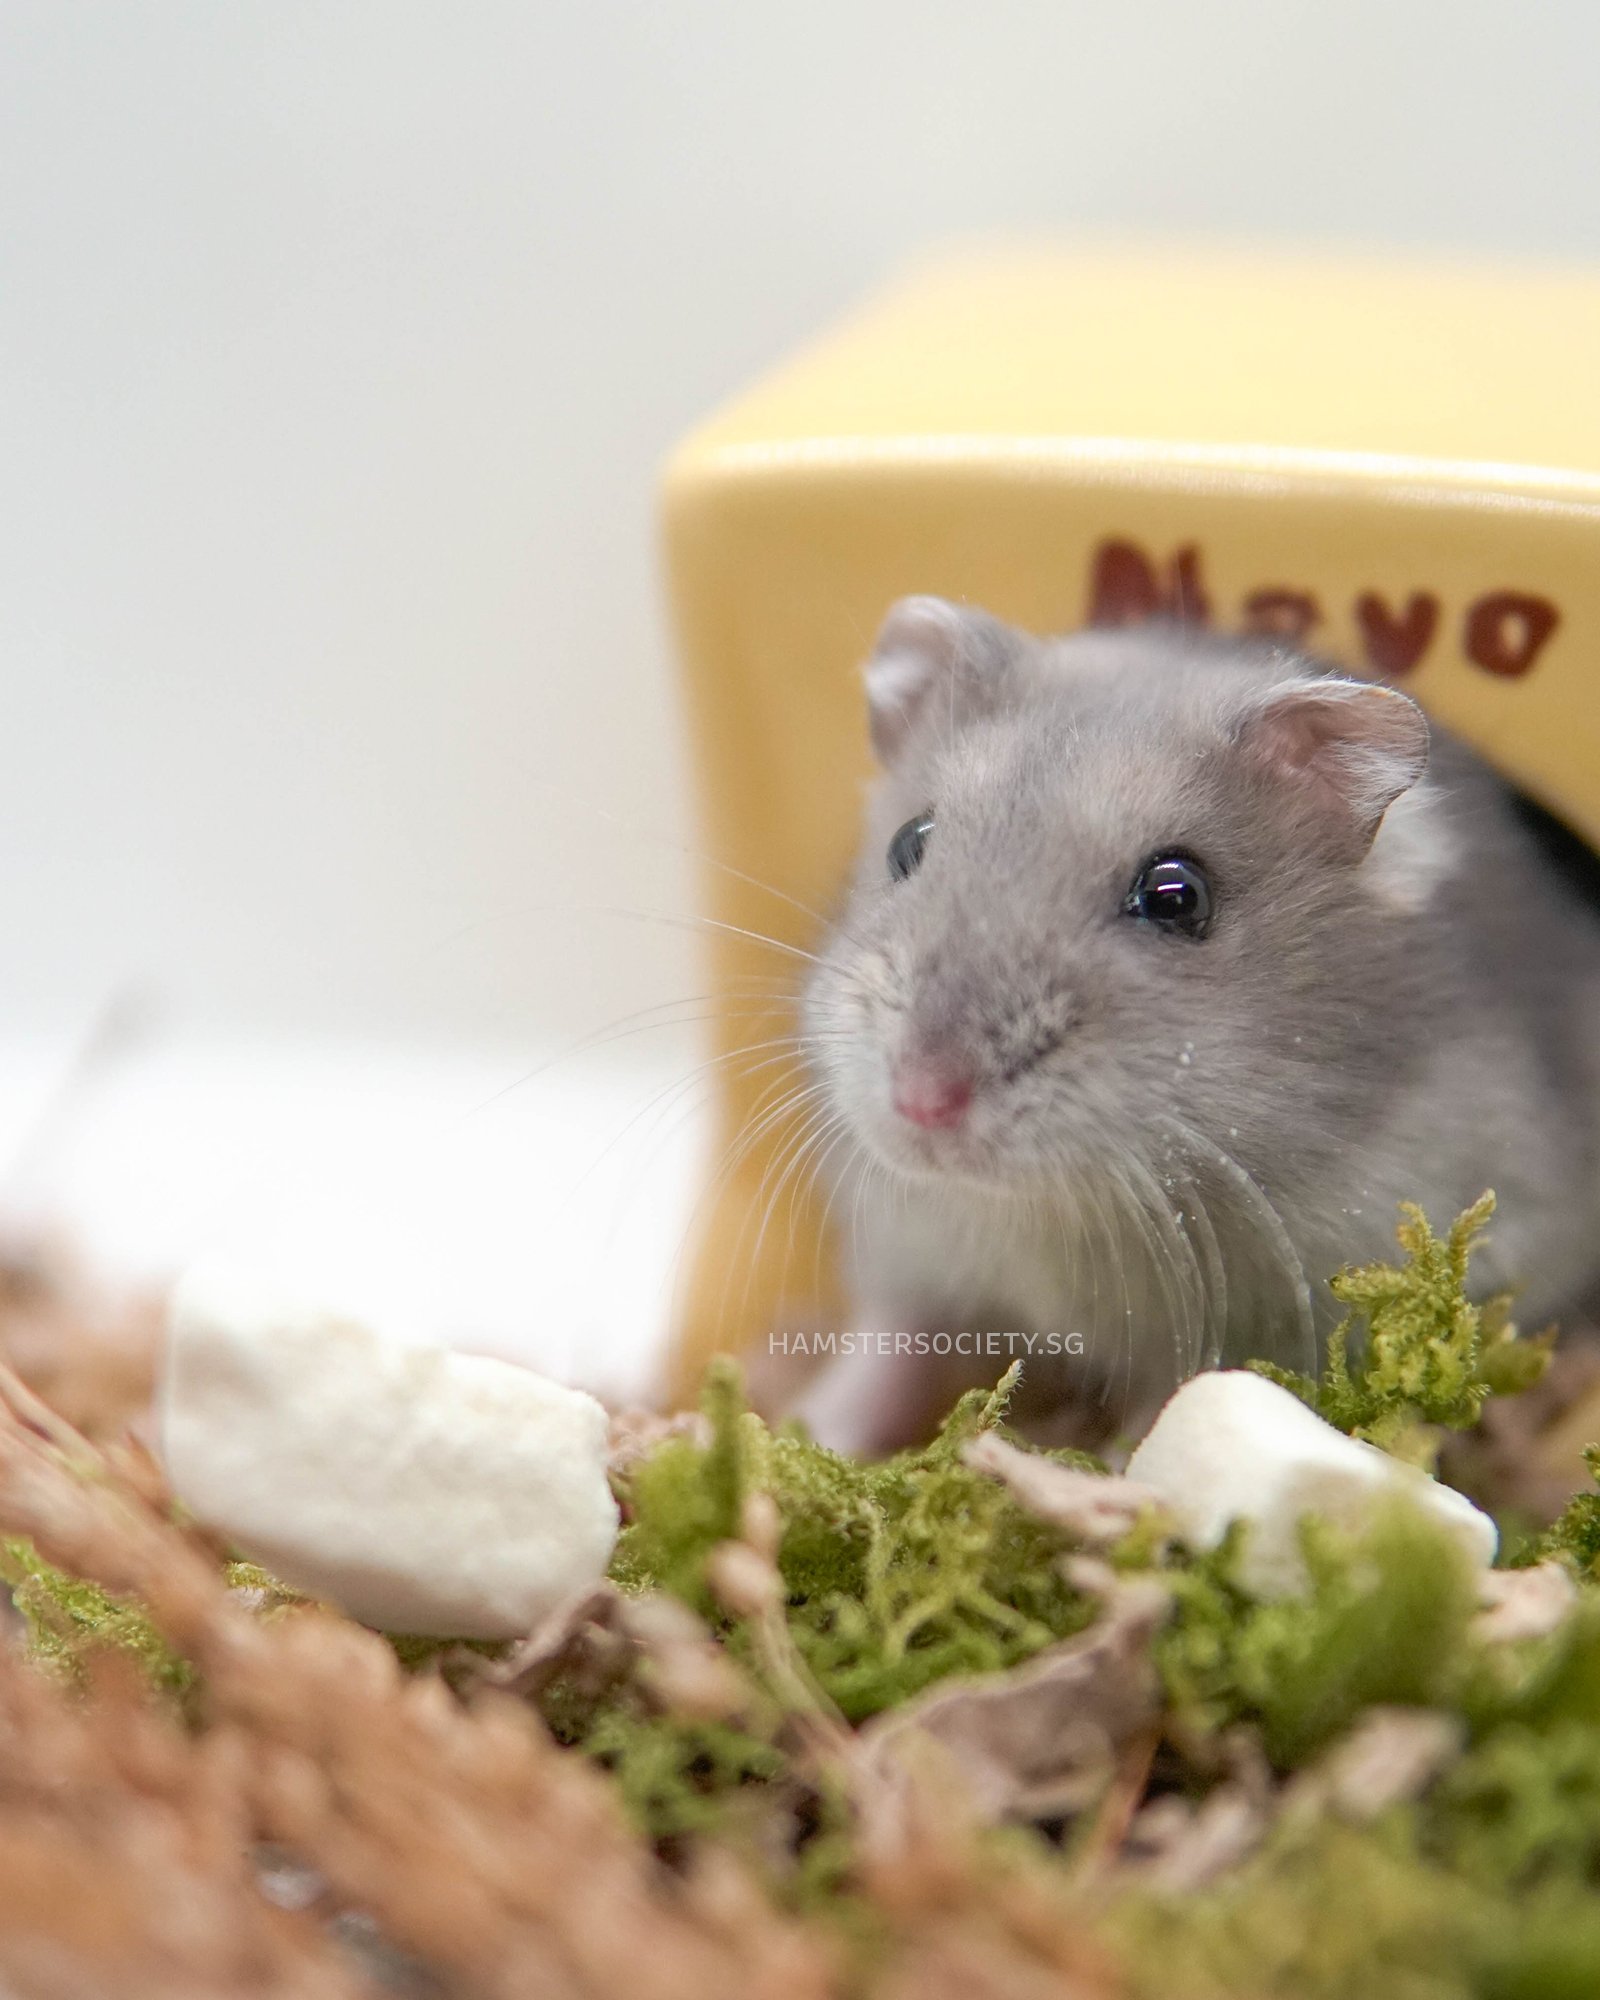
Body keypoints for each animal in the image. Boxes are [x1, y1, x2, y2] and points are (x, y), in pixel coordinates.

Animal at [794, 597, 1600, 1454]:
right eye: (908, 843)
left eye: (1176, 896)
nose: (923, 1101)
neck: (1044, 1211)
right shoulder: (908, 1246)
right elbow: (889, 1347)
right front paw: (792, 1430)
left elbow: (1173, 1409)